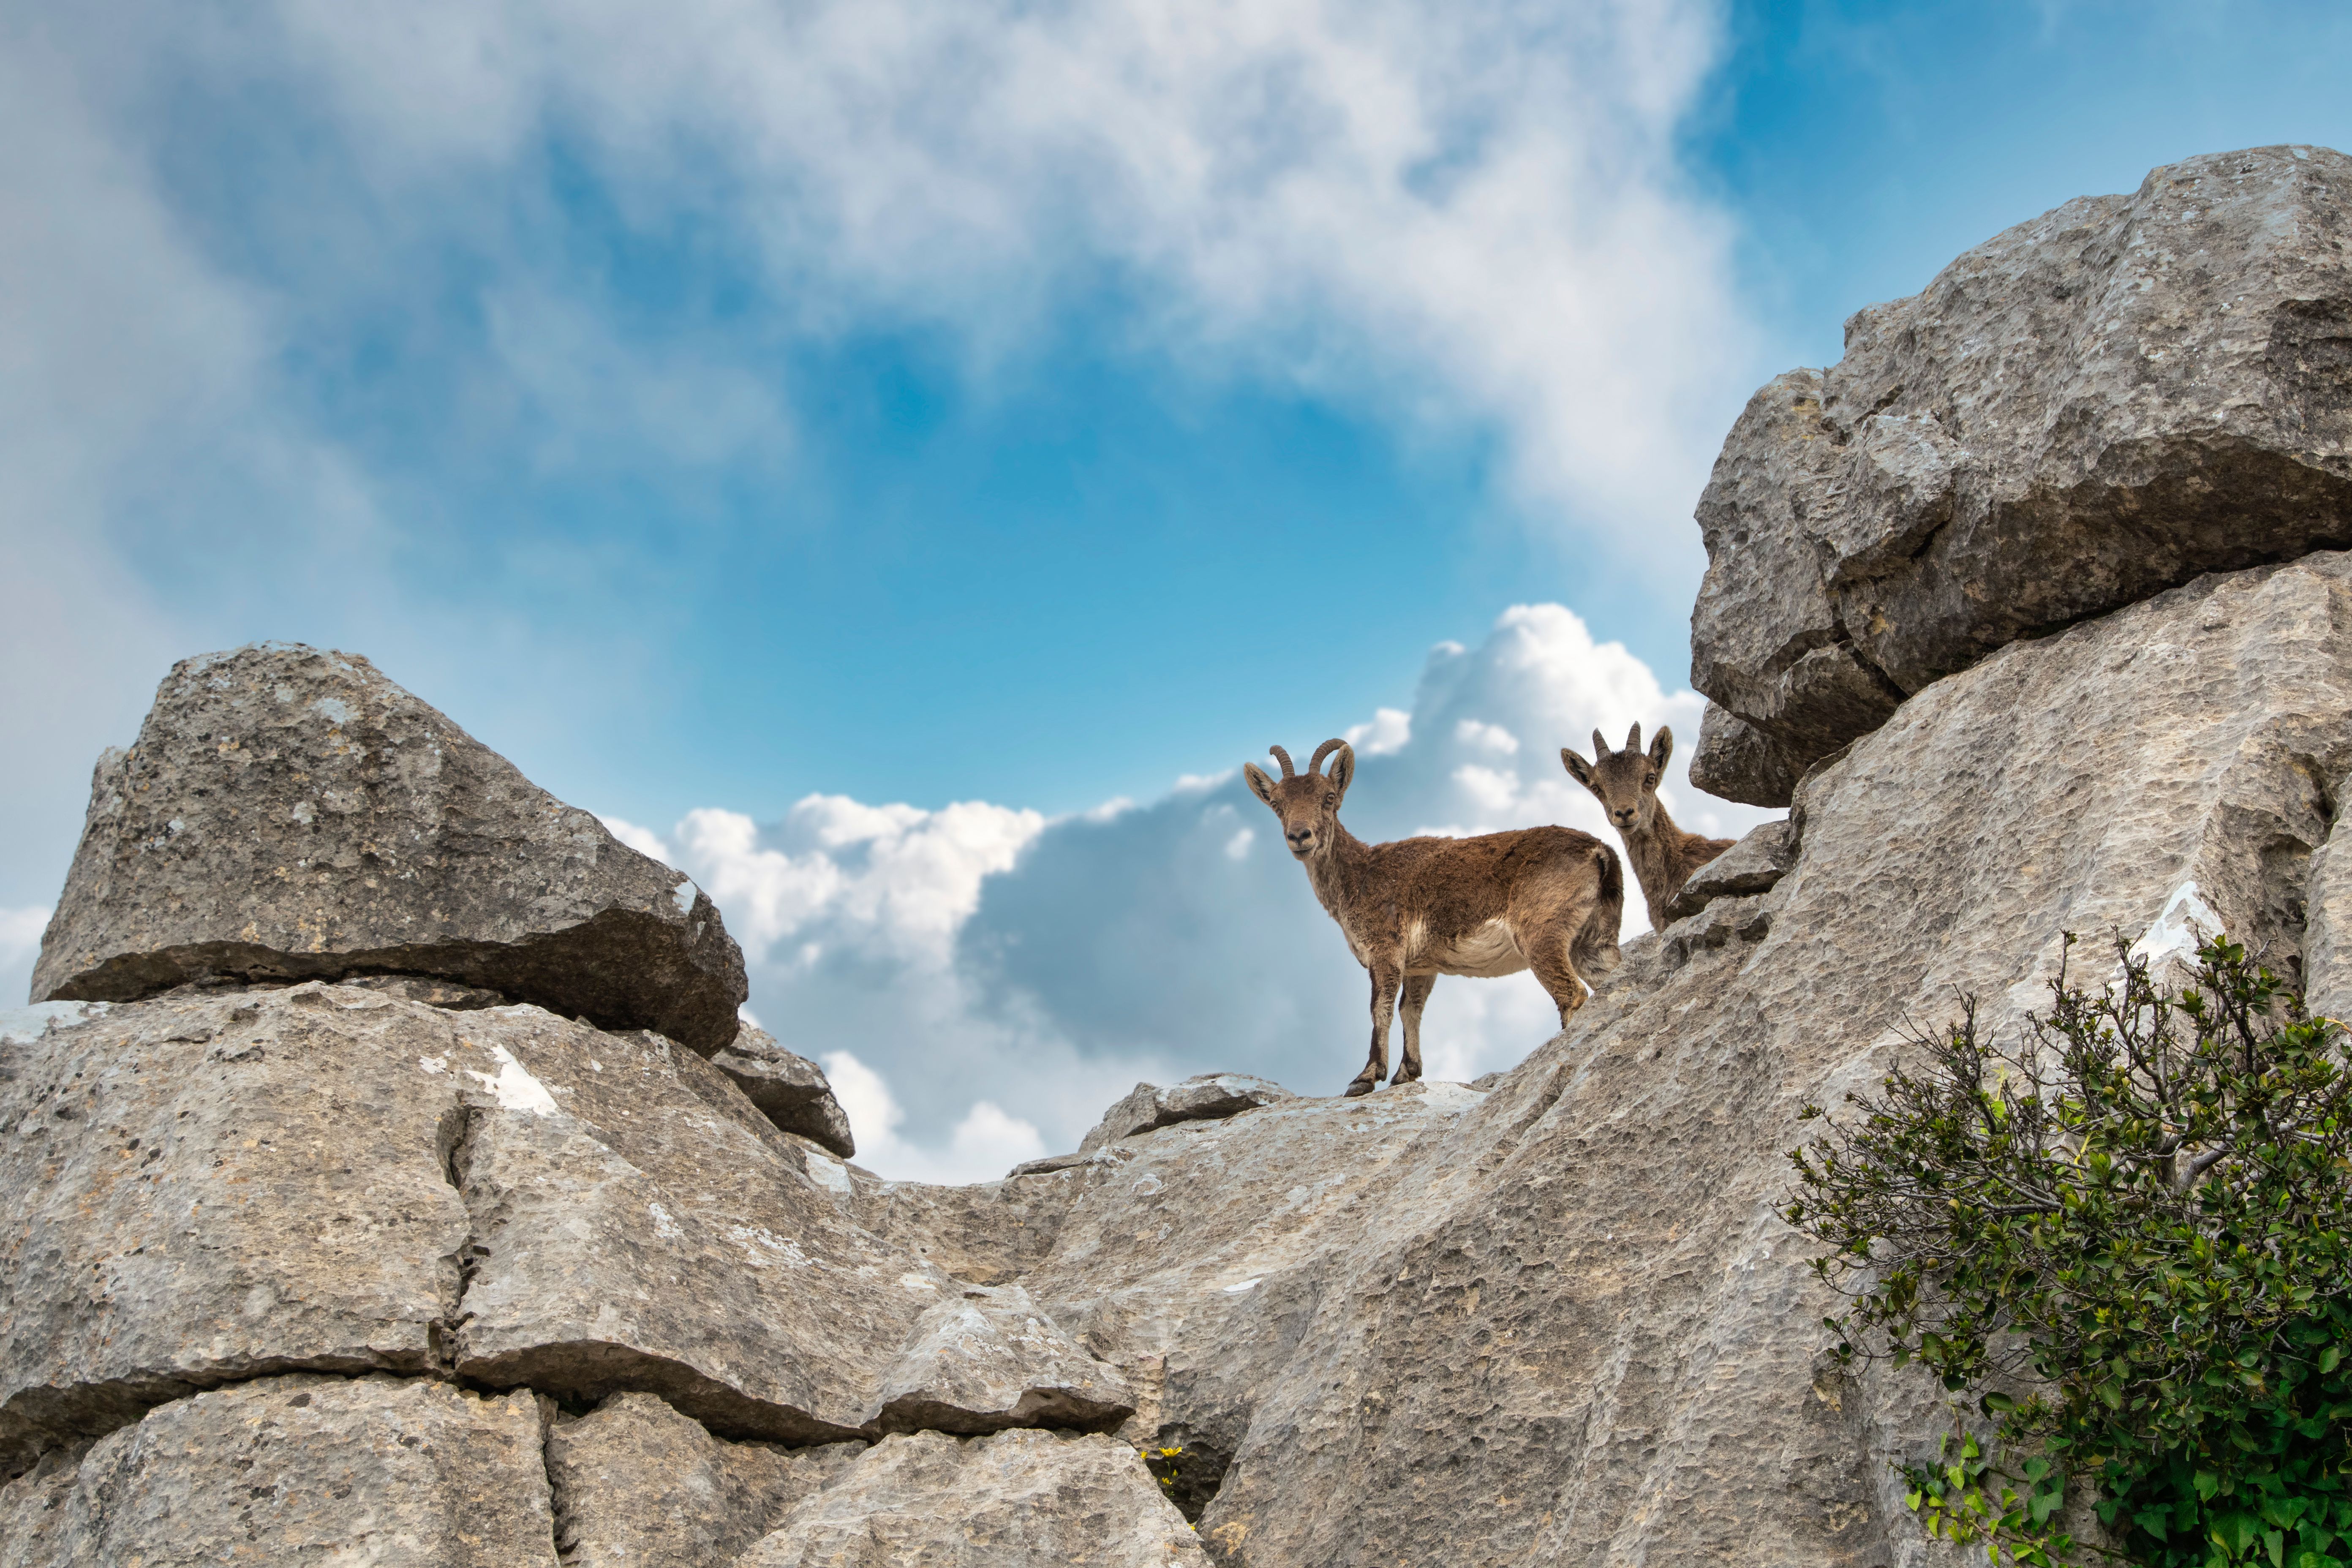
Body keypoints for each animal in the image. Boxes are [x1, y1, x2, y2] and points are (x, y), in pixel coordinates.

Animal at [1243, 739, 1625, 1097]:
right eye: (1277, 804)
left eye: (1329, 797)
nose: (1299, 836)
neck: (1360, 875)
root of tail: (1600, 852)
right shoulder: (1420, 966)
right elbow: (1409, 1009)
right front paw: (1406, 1072)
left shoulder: (1386, 951)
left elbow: (1379, 1009)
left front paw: (1365, 1077)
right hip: (1594, 941)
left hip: (1541, 935)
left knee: (1571, 994)